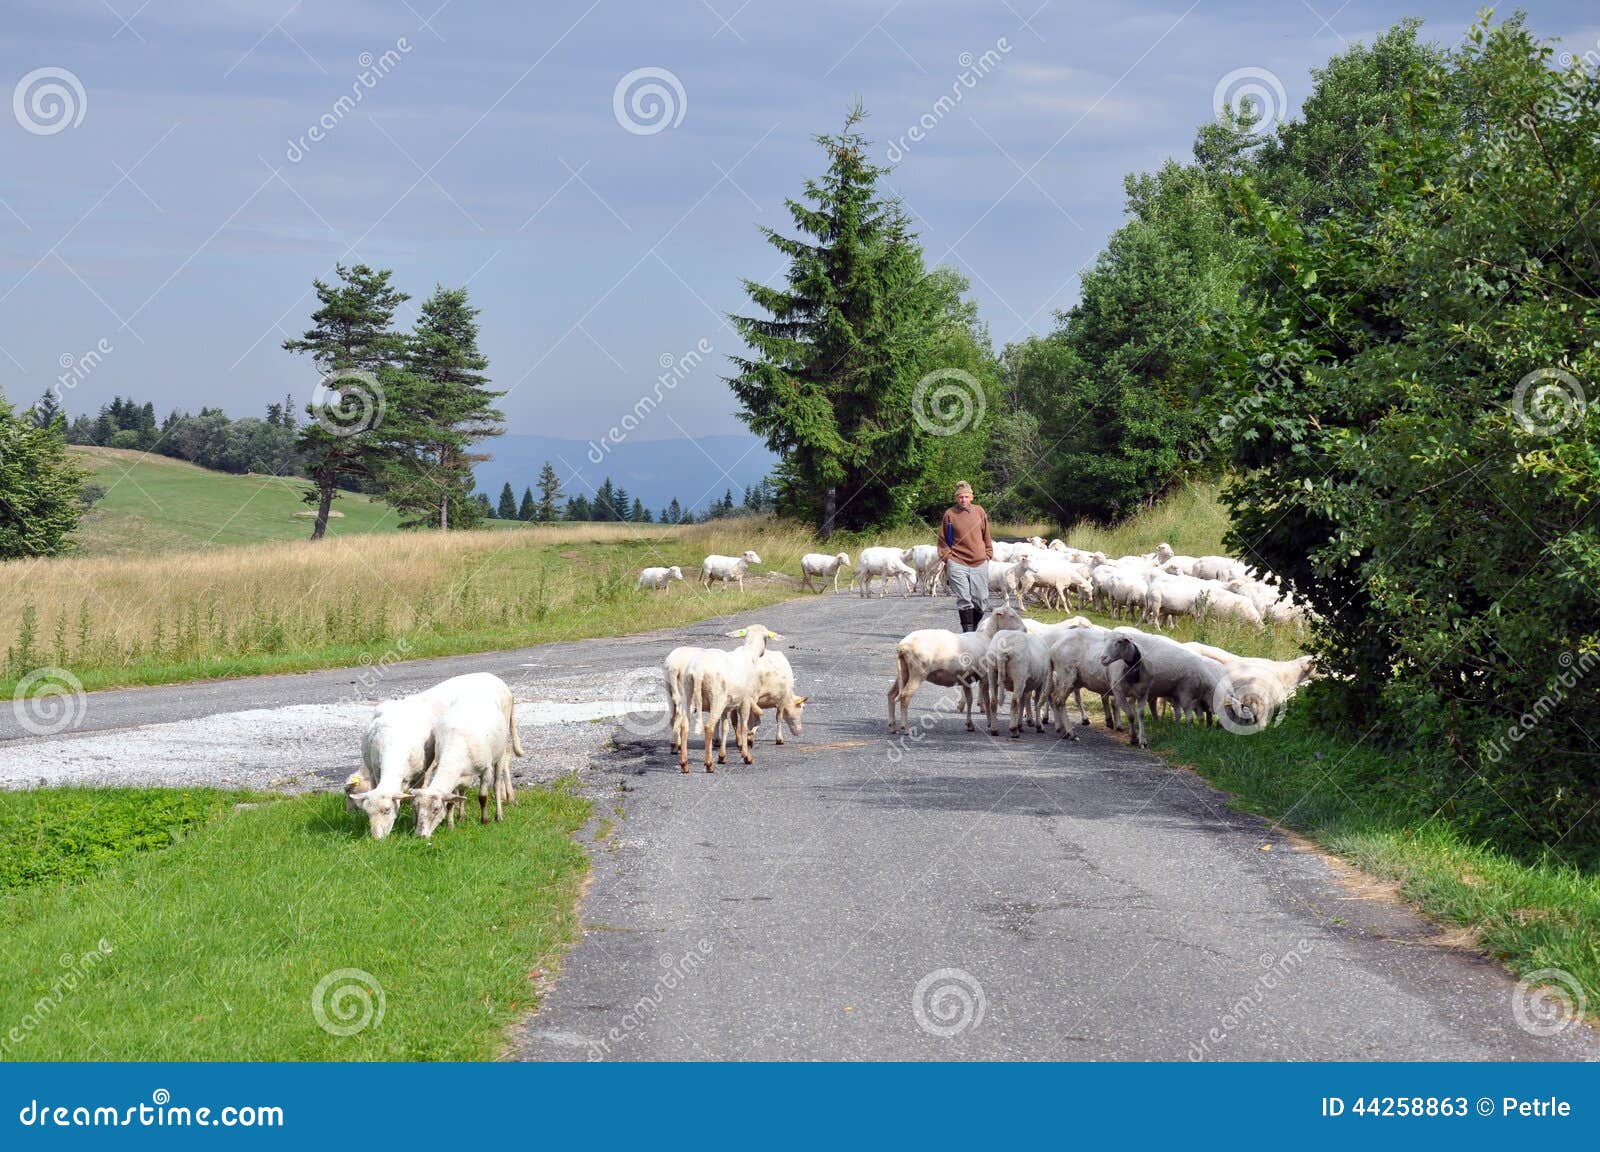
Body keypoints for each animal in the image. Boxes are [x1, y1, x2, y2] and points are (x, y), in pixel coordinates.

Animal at [412, 695, 517, 837]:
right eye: (415, 808)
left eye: (436, 809)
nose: (419, 835)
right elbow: (452, 801)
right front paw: (451, 825)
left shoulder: (486, 770)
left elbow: (483, 797)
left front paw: (485, 820)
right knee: (462, 792)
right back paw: (462, 816)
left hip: (499, 755)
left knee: (496, 785)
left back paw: (499, 815)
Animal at [678, 626, 783, 772]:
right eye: (766, 637)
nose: (762, 653)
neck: (749, 654)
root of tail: (698, 672)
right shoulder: (746, 700)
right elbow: (743, 726)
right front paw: (746, 756)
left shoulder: (726, 707)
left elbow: (725, 727)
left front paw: (722, 756)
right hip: (716, 697)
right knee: (708, 727)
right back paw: (709, 764)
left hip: (688, 693)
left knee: (684, 726)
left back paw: (684, 764)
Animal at [887, 606, 1026, 734]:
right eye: (1012, 616)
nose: (1025, 630)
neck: (988, 636)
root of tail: (903, 646)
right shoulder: (985, 676)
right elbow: (987, 700)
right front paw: (989, 723)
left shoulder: (967, 679)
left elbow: (970, 700)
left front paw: (969, 724)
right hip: (918, 672)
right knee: (905, 696)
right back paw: (906, 728)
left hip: (904, 672)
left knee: (891, 694)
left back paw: (893, 726)